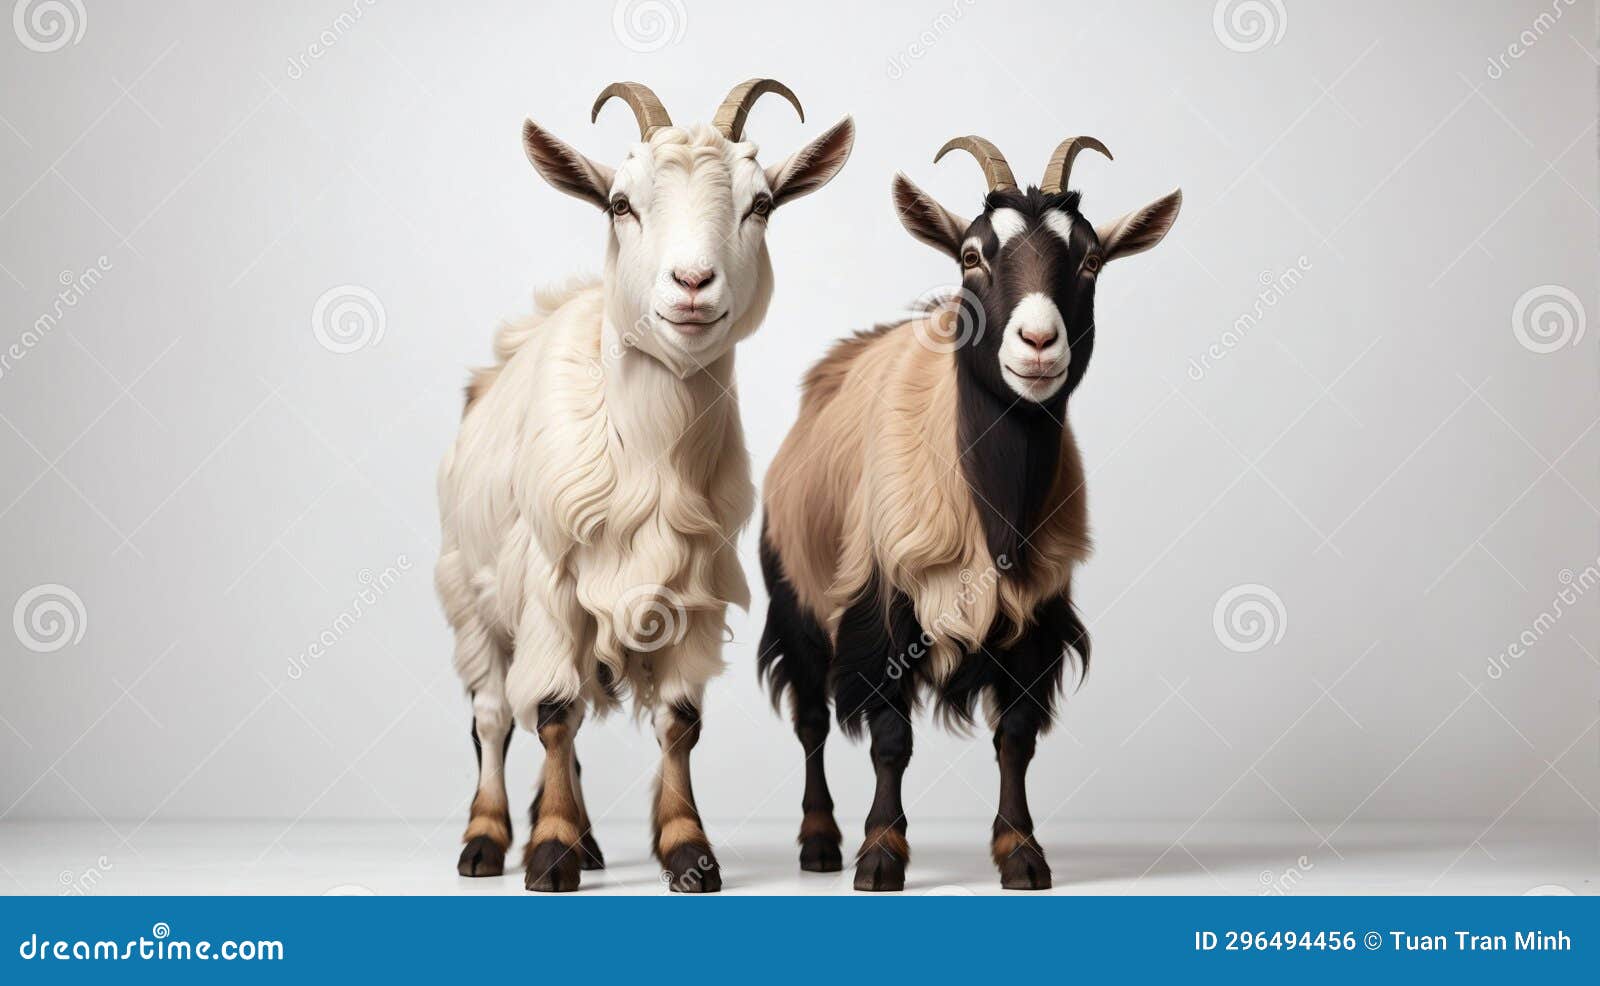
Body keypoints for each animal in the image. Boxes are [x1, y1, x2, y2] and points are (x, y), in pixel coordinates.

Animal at [437, 80, 854, 892]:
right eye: (620, 202)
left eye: (761, 203)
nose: (691, 284)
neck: (647, 458)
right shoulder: (549, 584)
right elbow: (553, 711)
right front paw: (549, 854)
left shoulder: (694, 589)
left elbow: (679, 721)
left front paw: (687, 849)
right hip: (470, 595)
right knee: (495, 715)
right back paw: (487, 838)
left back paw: (587, 839)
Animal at [758, 134, 1180, 890]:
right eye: (972, 255)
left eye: (1091, 258)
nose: (1037, 343)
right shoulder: (880, 603)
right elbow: (890, 739)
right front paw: (880, 855)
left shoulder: (1037, 613)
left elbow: (1015, 736)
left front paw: (1021, 851)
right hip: (795, 598)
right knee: (810, 720)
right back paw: (818, 843)